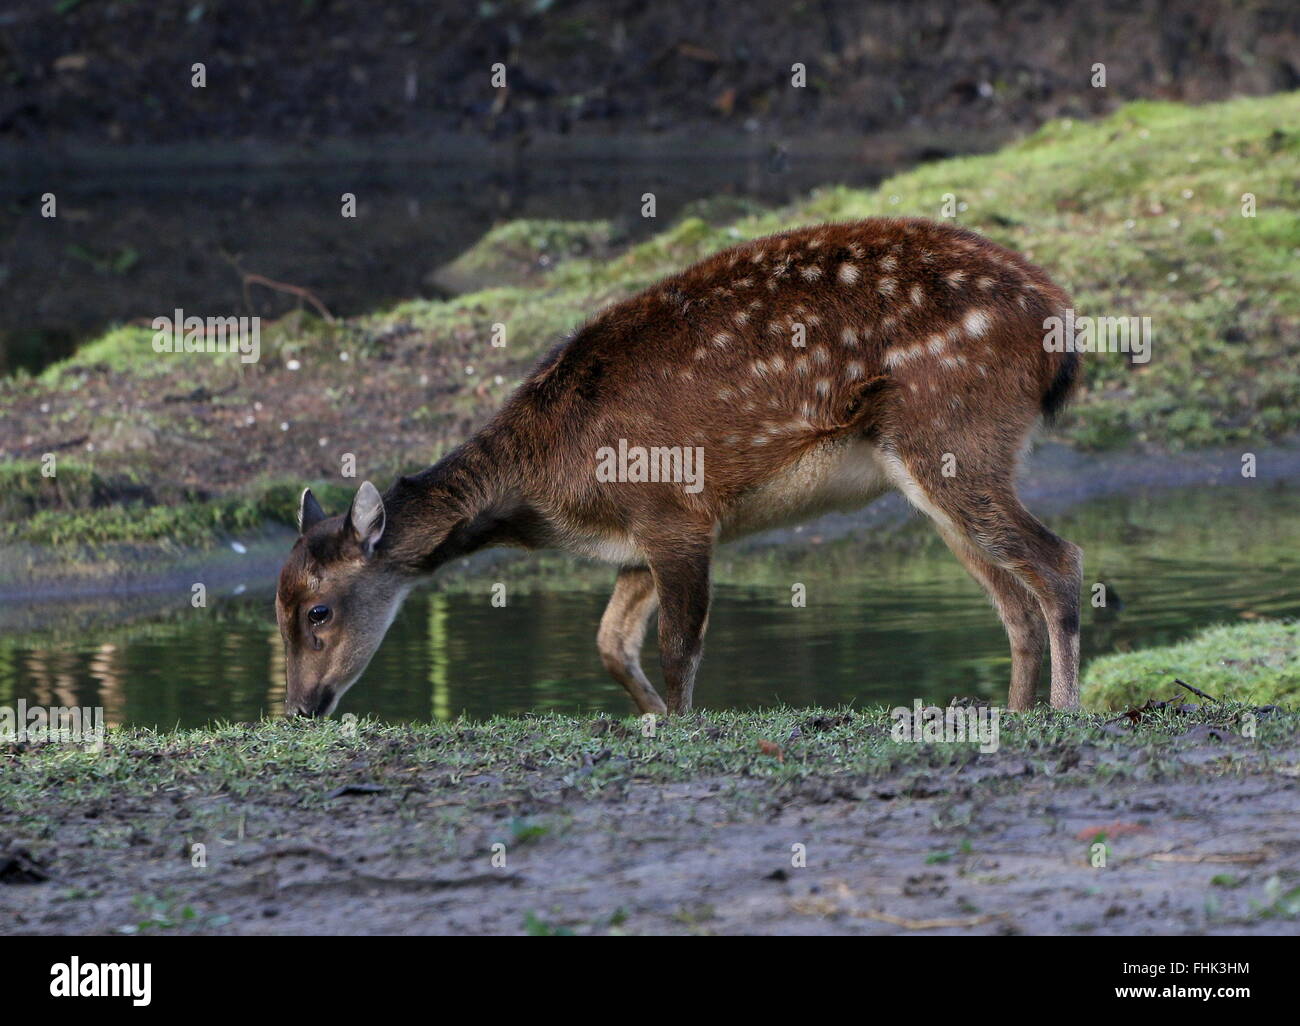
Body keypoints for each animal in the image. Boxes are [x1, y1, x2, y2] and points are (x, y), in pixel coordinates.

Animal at [276, 217, 1082, 719]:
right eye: (276, 607)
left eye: (318, 612)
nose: (301, 707)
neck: (549, 487)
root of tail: (1062, 330)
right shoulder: (638, 541)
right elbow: (610, 644)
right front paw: (656, 719)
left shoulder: (677, 512)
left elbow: (679, 647)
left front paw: (683, 722)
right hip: (932, 473)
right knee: (1013, 600)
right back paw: (1015, 714)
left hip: (955, 434)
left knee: (1059, 559)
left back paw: (1064, 711)